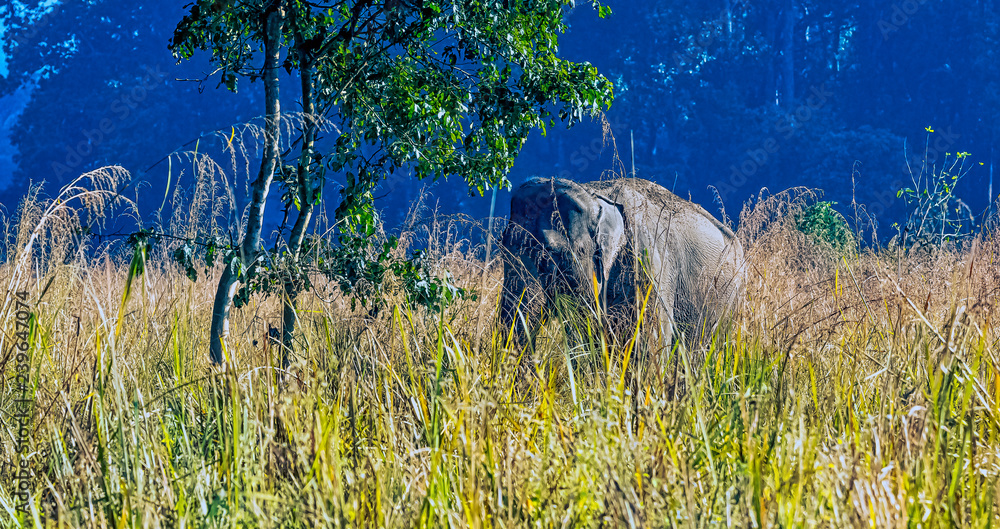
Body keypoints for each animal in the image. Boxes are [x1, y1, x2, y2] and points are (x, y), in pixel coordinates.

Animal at [498, 176, 744, 352]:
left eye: (553, 253)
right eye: (501, 249)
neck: (595, 198)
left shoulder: (646, 262)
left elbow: (649, 344)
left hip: (730, 302)